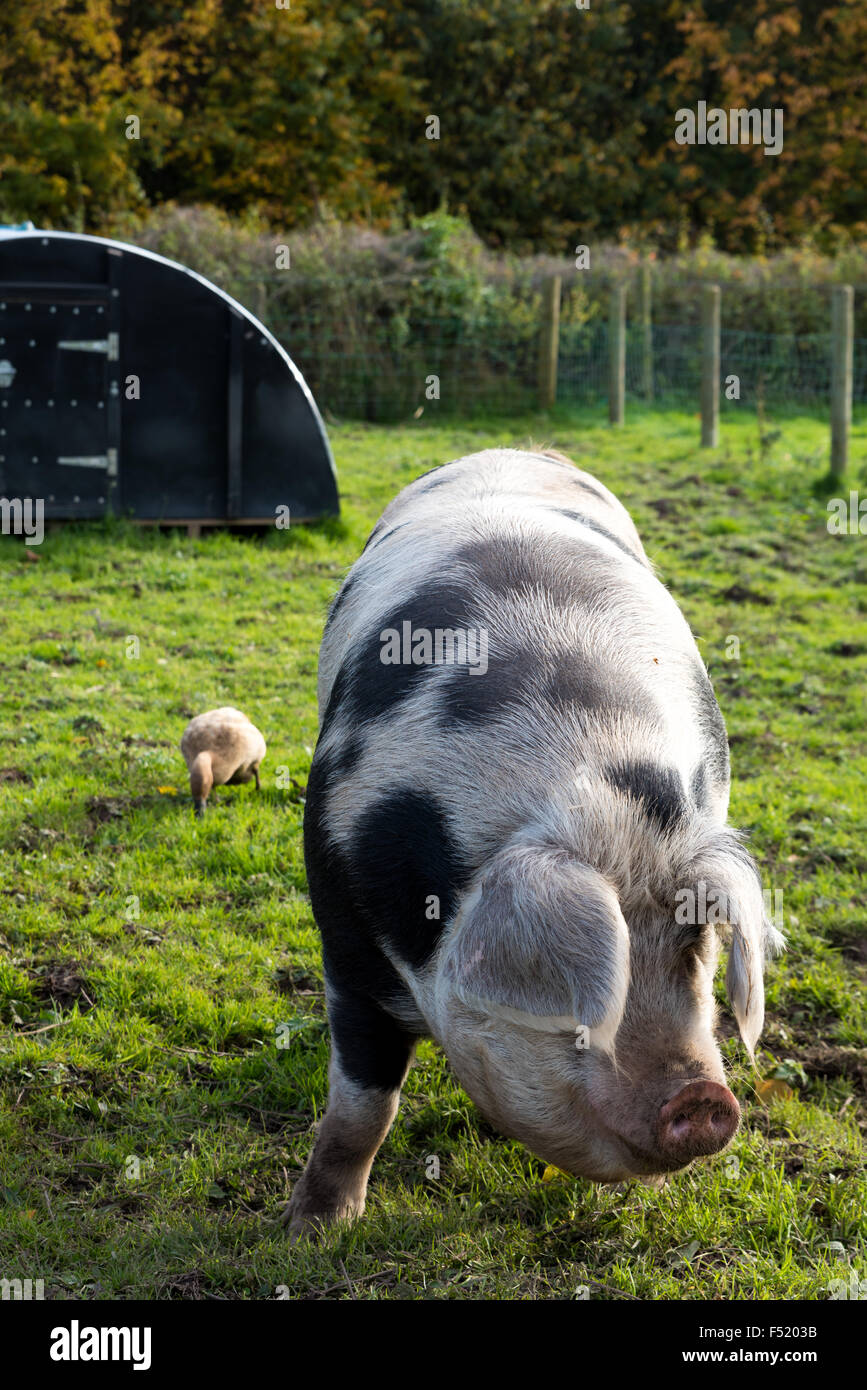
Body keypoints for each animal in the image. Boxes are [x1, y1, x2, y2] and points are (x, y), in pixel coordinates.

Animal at [284, 447, 784, 1239]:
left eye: (694, 944)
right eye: (583, 996)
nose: (704, 1102)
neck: (596, 792)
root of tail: (521, 449)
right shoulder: (344, 925)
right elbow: (364, 1104)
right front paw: (313, 1229)